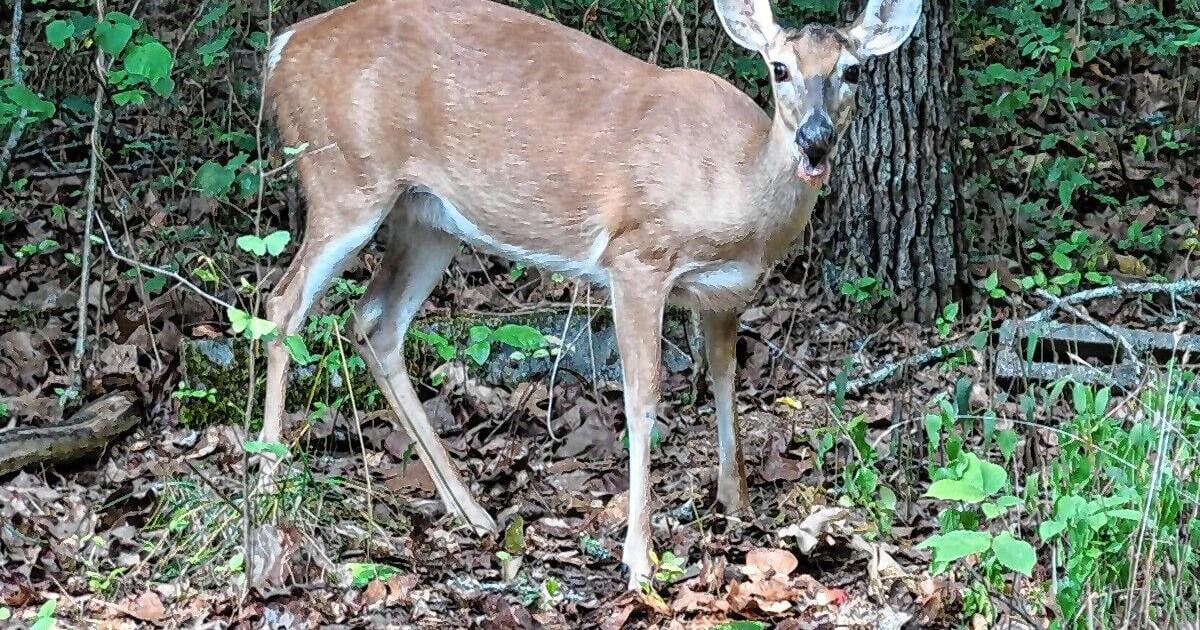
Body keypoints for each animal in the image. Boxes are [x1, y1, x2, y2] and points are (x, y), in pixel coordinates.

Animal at [261, 0, 922, 588]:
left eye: (853, 70)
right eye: (780, 68)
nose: (816, 137)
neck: (738, 192)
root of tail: (282, 47)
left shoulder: (726, 293)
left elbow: (725, 378)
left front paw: (737, 505)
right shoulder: (636, 257)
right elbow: (643, 398)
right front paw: (639, 557)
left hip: (428, 218)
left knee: (375, 321)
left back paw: (470, 511)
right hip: (344, 178)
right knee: (283, 304)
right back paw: (267, 488)